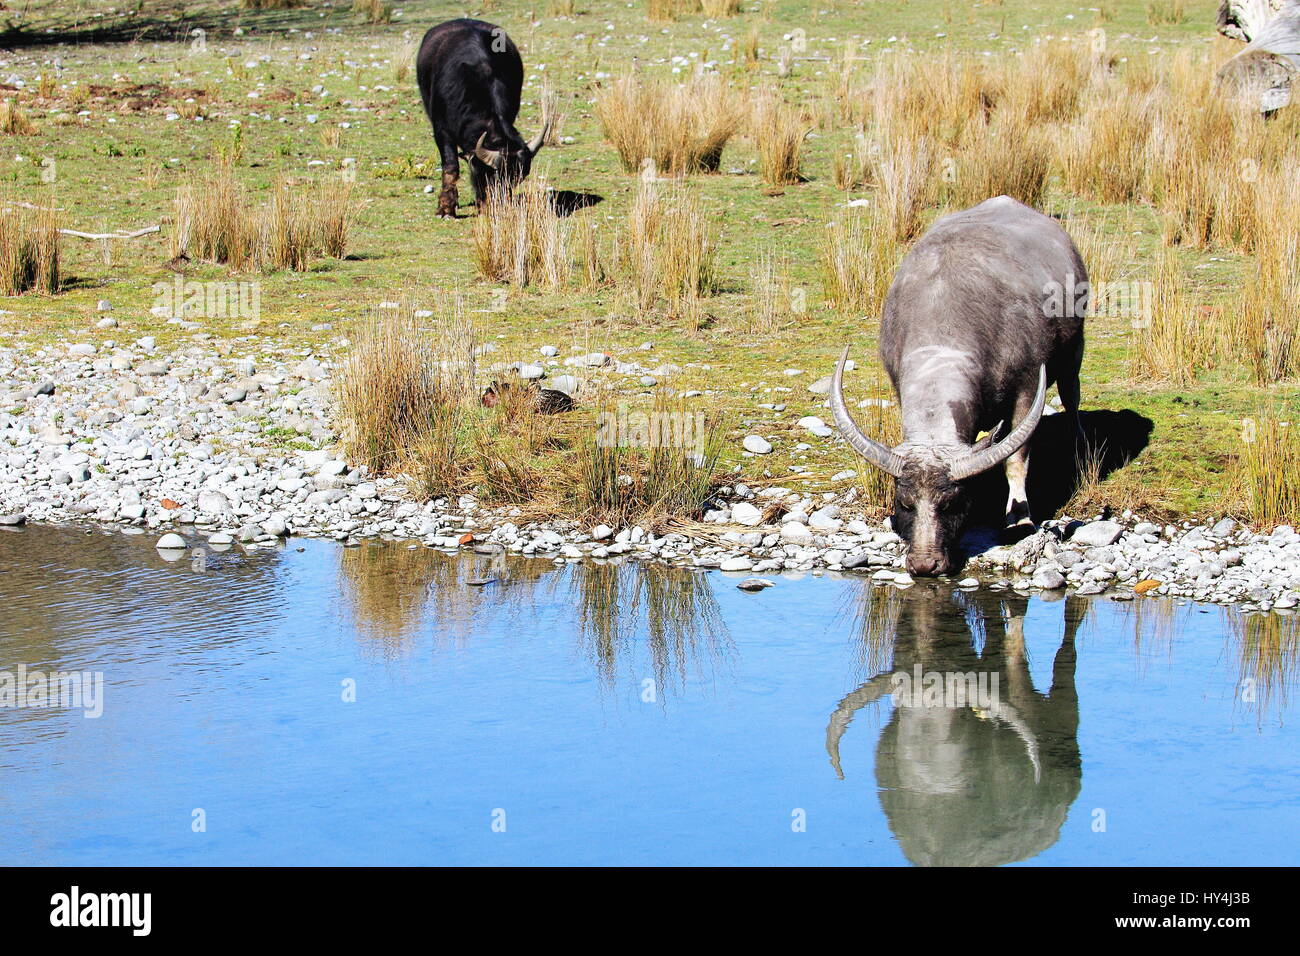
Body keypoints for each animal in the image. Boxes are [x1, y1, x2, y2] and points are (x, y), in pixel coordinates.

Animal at [415, 18, 554, 217]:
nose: (499, 205)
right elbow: (451, 167)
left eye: (516, 179)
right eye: (489, 176)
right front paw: (446, 208)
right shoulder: (441, 130)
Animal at [829, 195, 1086, 576]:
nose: (925, 565)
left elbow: (1016, 458)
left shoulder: (1027, 387)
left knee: (1072, 395)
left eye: (952, 503)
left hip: (1075, 350)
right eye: (905, 503)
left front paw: (1019, 519)